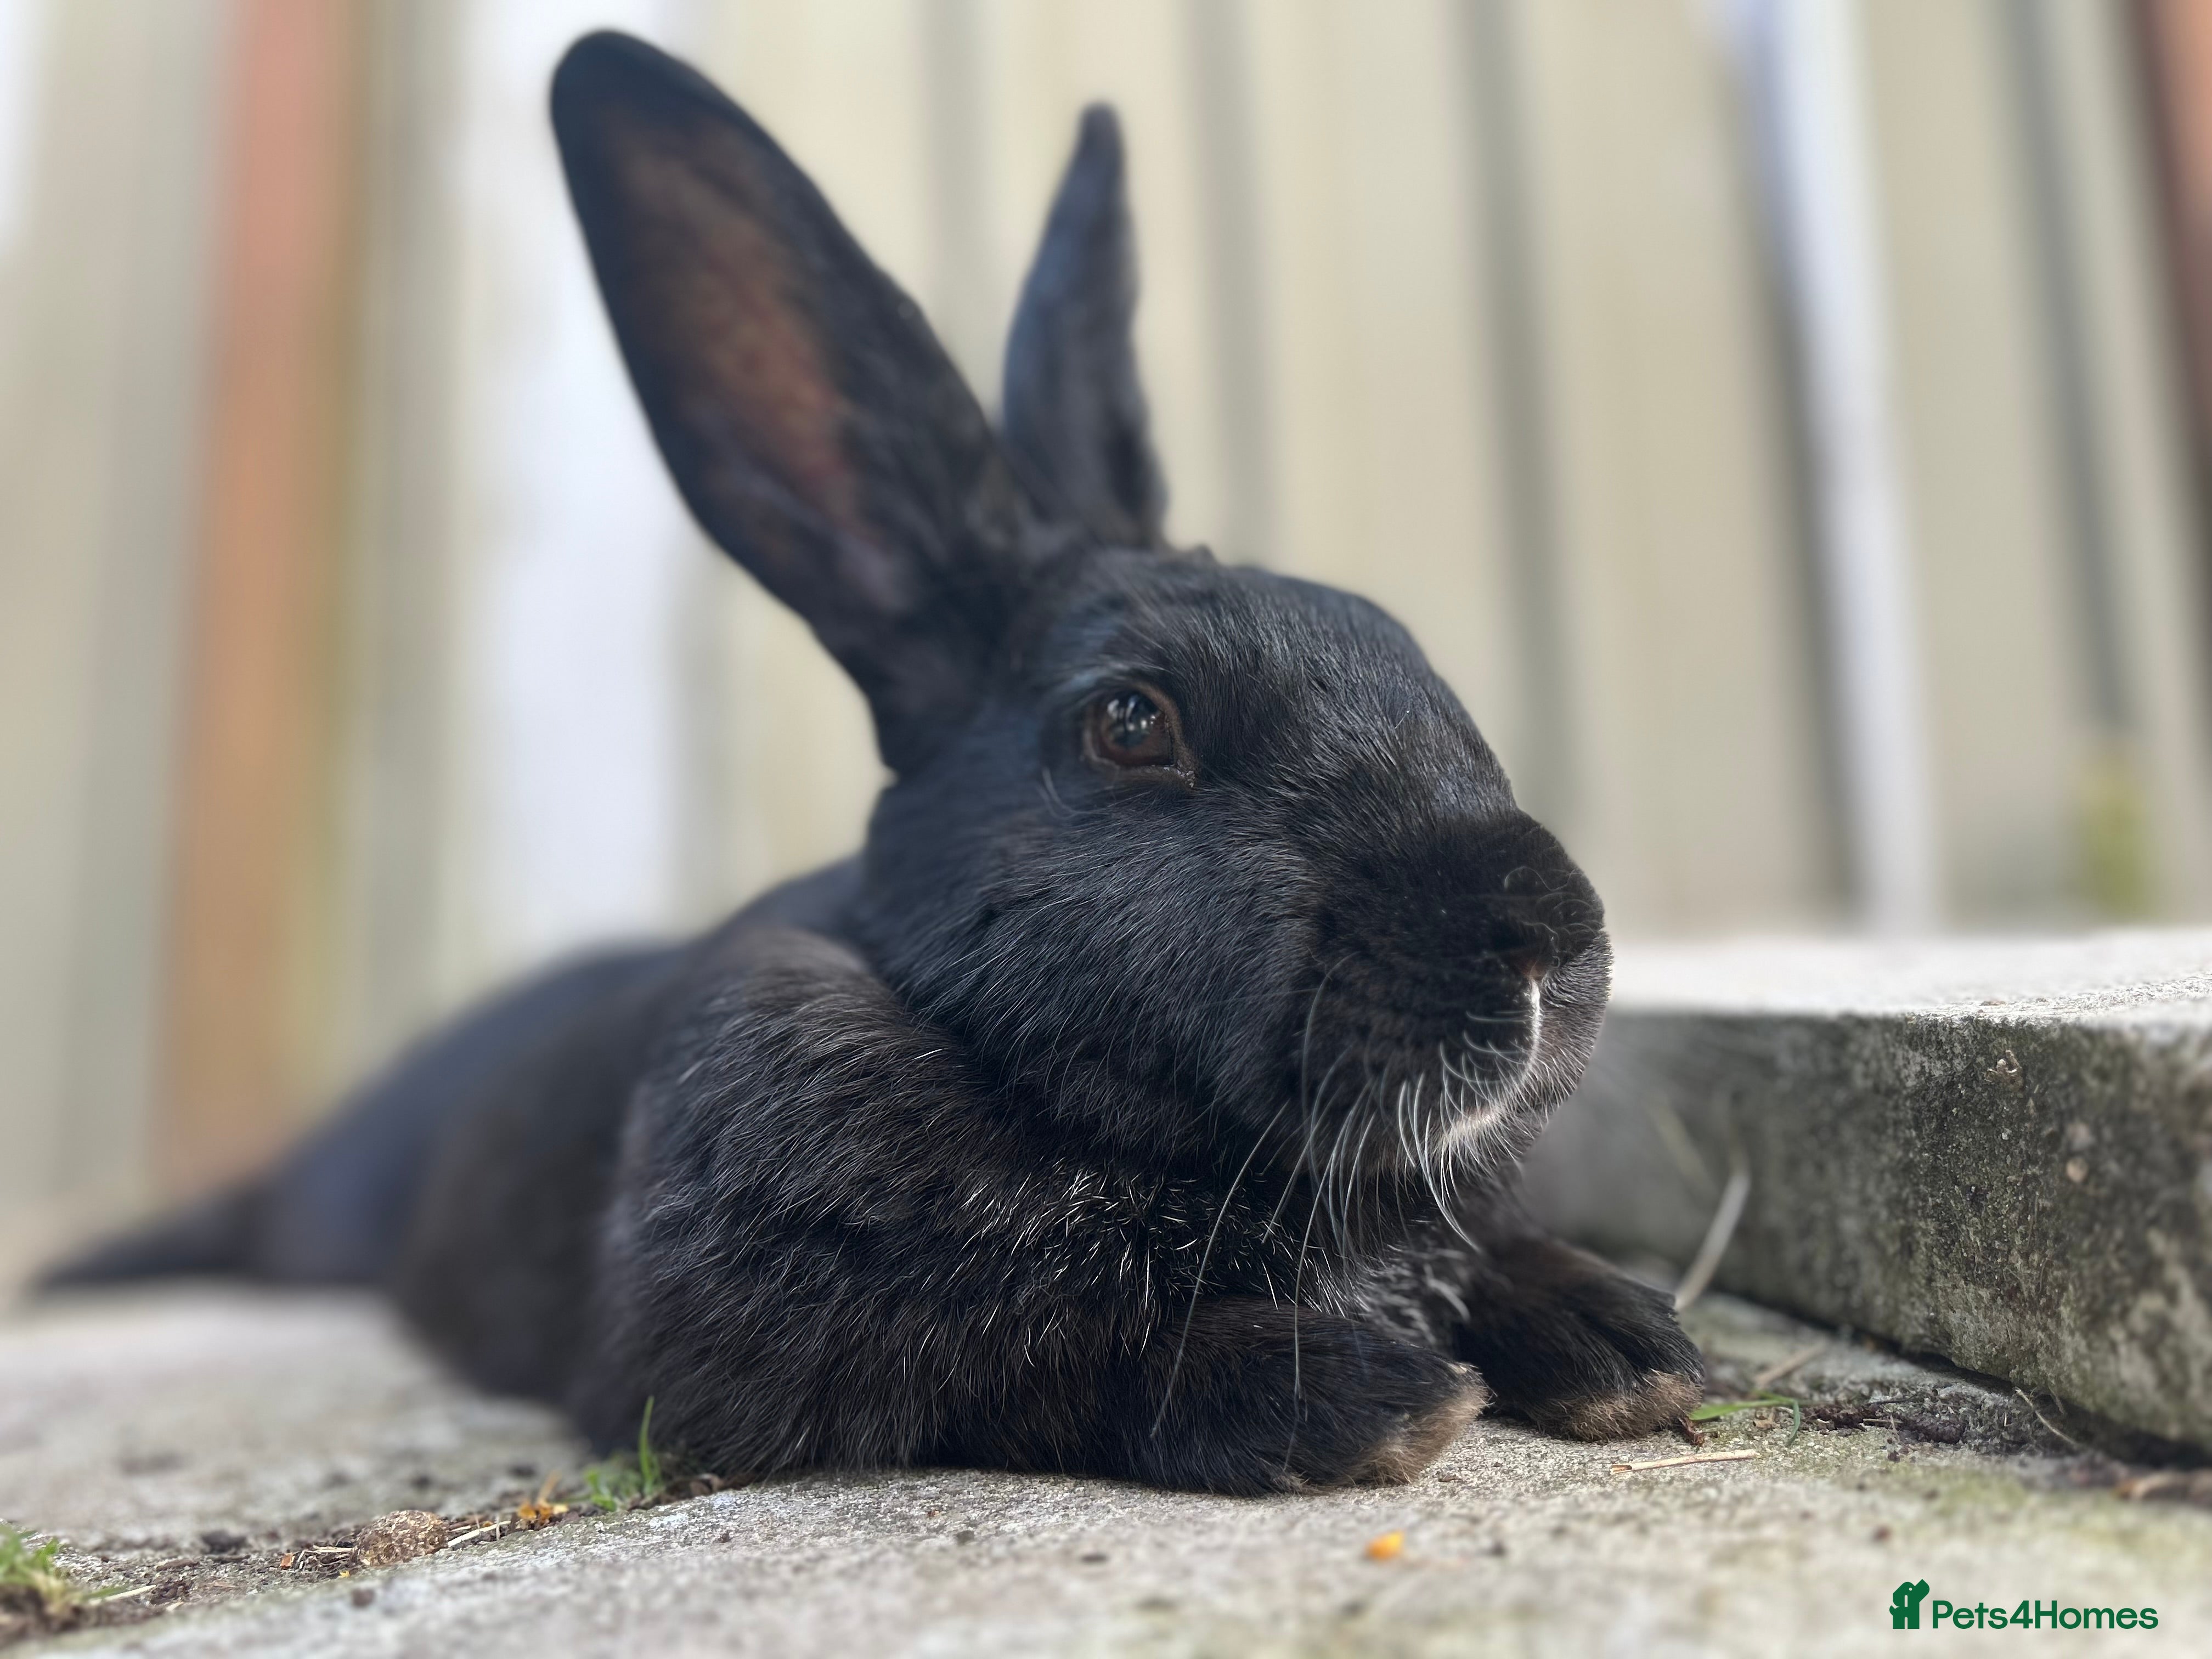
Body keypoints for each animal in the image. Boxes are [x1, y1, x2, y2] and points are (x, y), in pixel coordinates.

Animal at [44, 31, 1702, 1496]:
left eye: (1400, 642)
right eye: (1133, 724)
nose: (1546, 938)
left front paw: (1624, 1343)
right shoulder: (752, 1340)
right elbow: (1035, 1357)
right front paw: (1366, 1397)